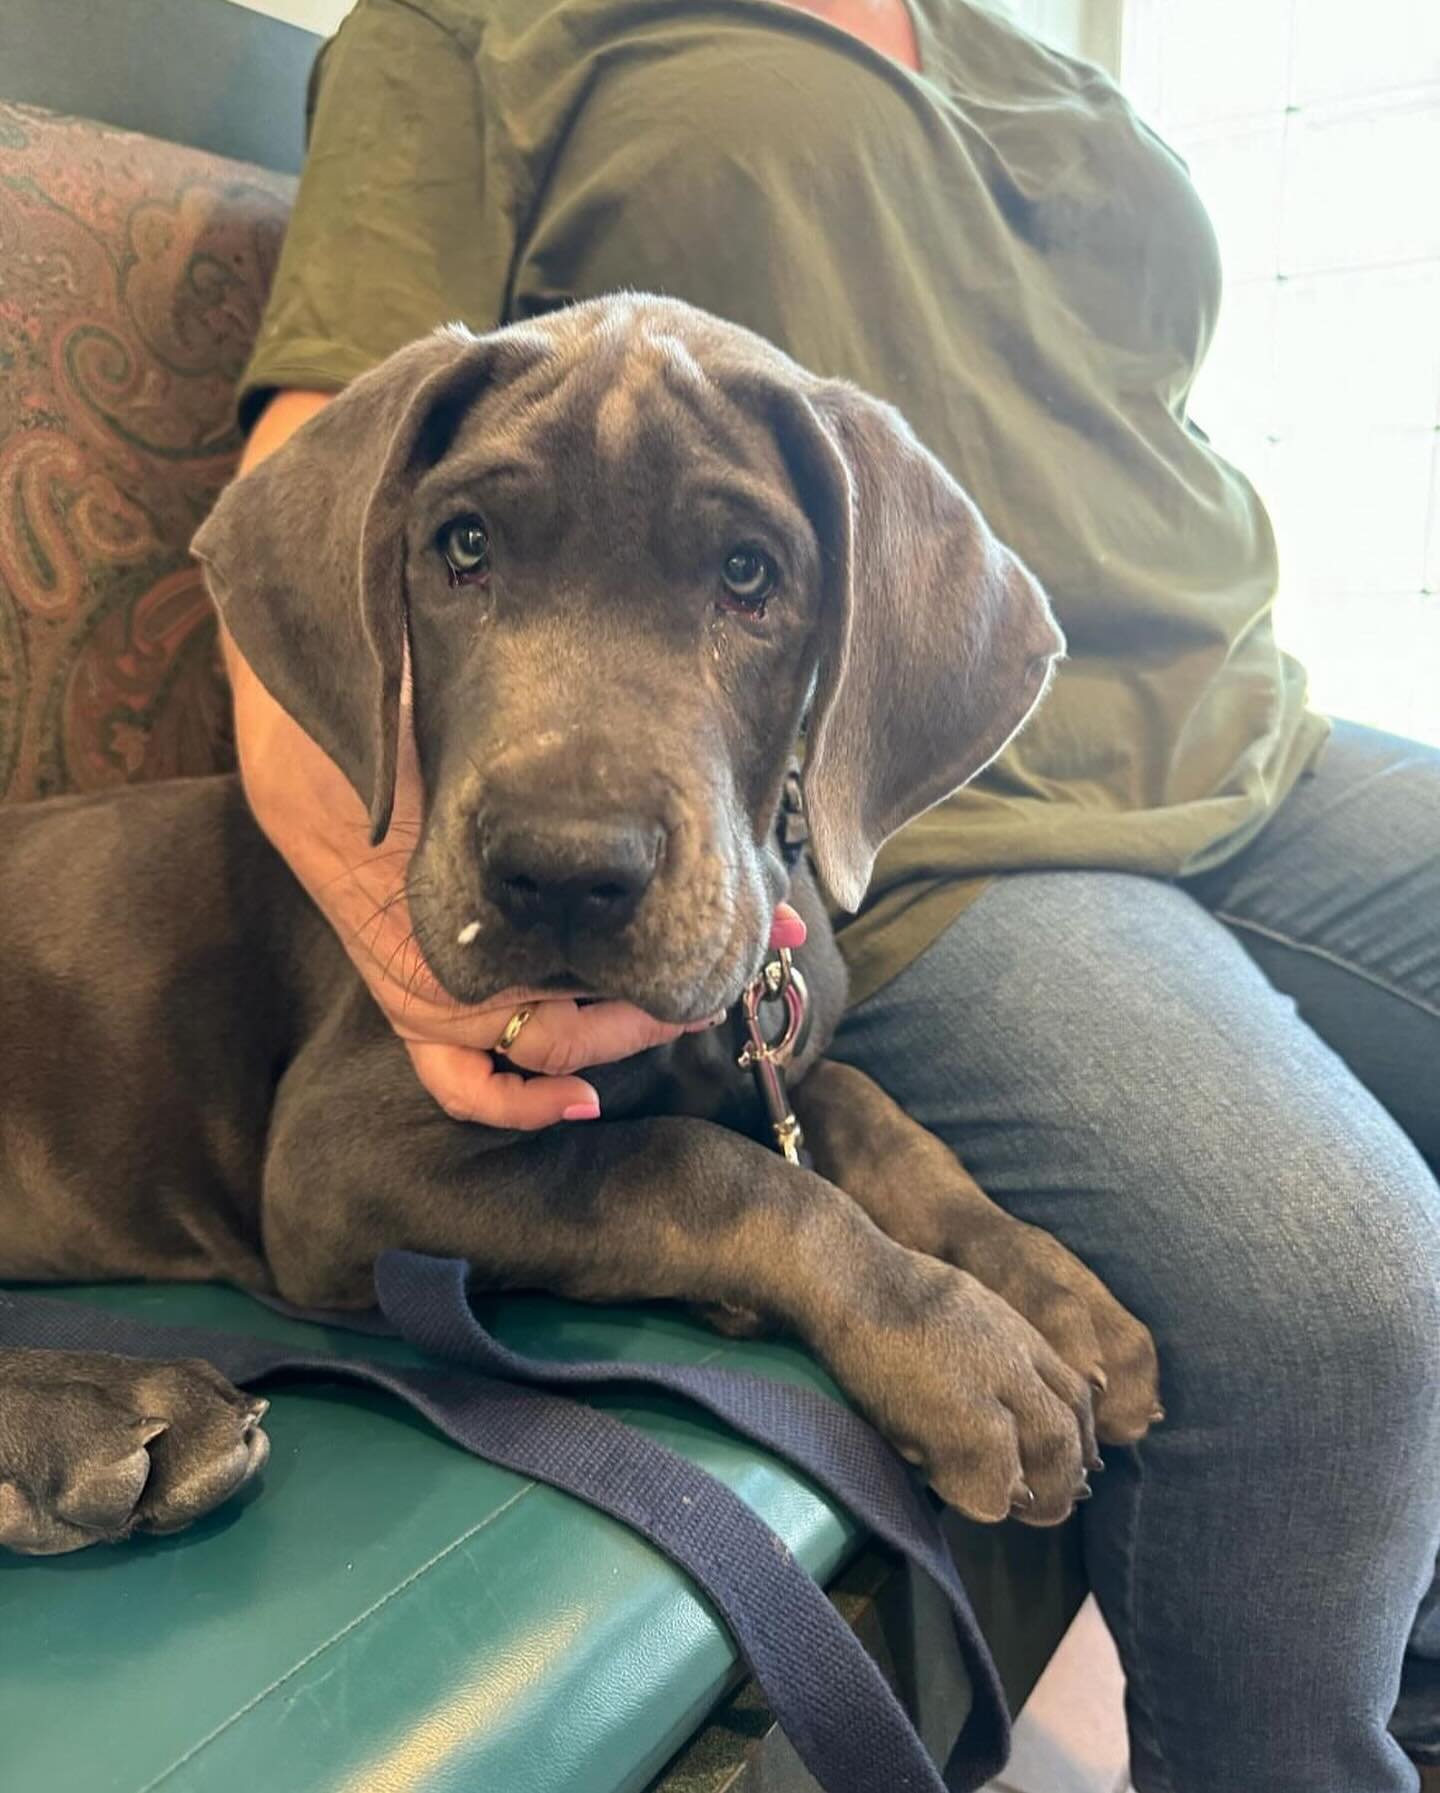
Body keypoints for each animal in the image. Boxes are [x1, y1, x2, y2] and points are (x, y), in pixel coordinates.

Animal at [0, 294, 1162, 1556]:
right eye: (464, 547)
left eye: (748, 572)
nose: (561, 871)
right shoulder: (331, 1165)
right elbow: (692, 1163)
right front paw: (960, 1345)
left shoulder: (778, 1049)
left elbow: (870, 1111)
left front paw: (1050, 1289)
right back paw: (103, 1415)